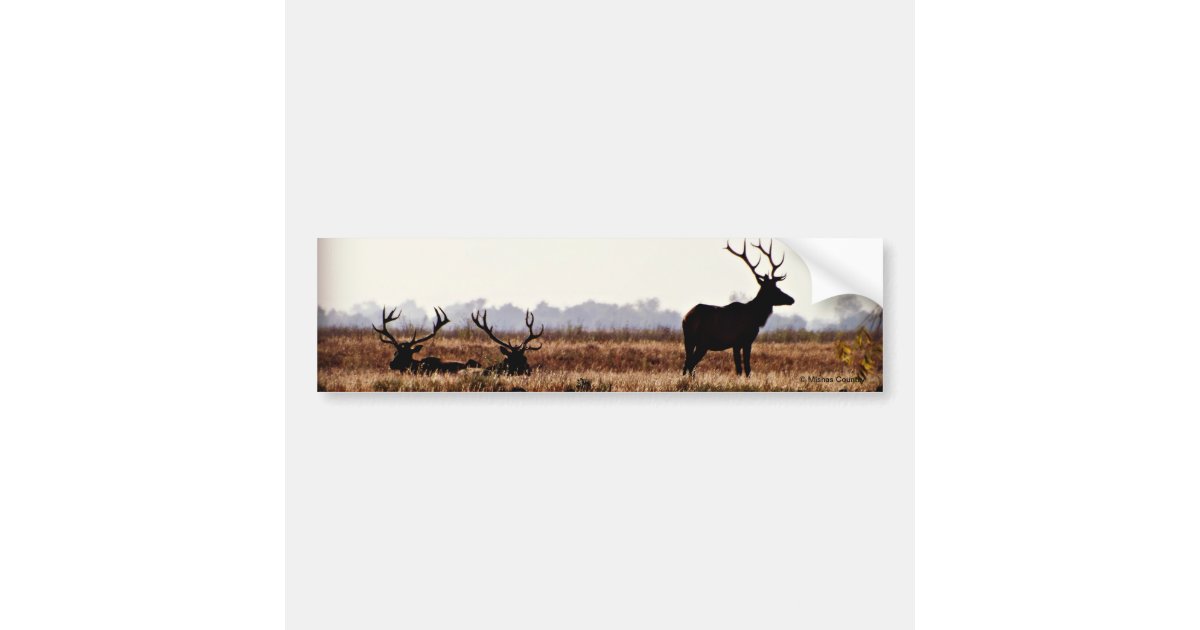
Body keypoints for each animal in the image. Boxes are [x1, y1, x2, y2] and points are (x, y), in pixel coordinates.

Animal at [682, 239, 795, 377]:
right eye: (775, 289)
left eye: (777, 287)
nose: (791, 299)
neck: (756, 317)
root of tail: (686, 318)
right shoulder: (741, 340)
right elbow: (743, 368)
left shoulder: (739, 343)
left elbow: (742, 367)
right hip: (702, 342)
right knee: (690, 364)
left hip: (689, 340)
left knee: (686, 365)